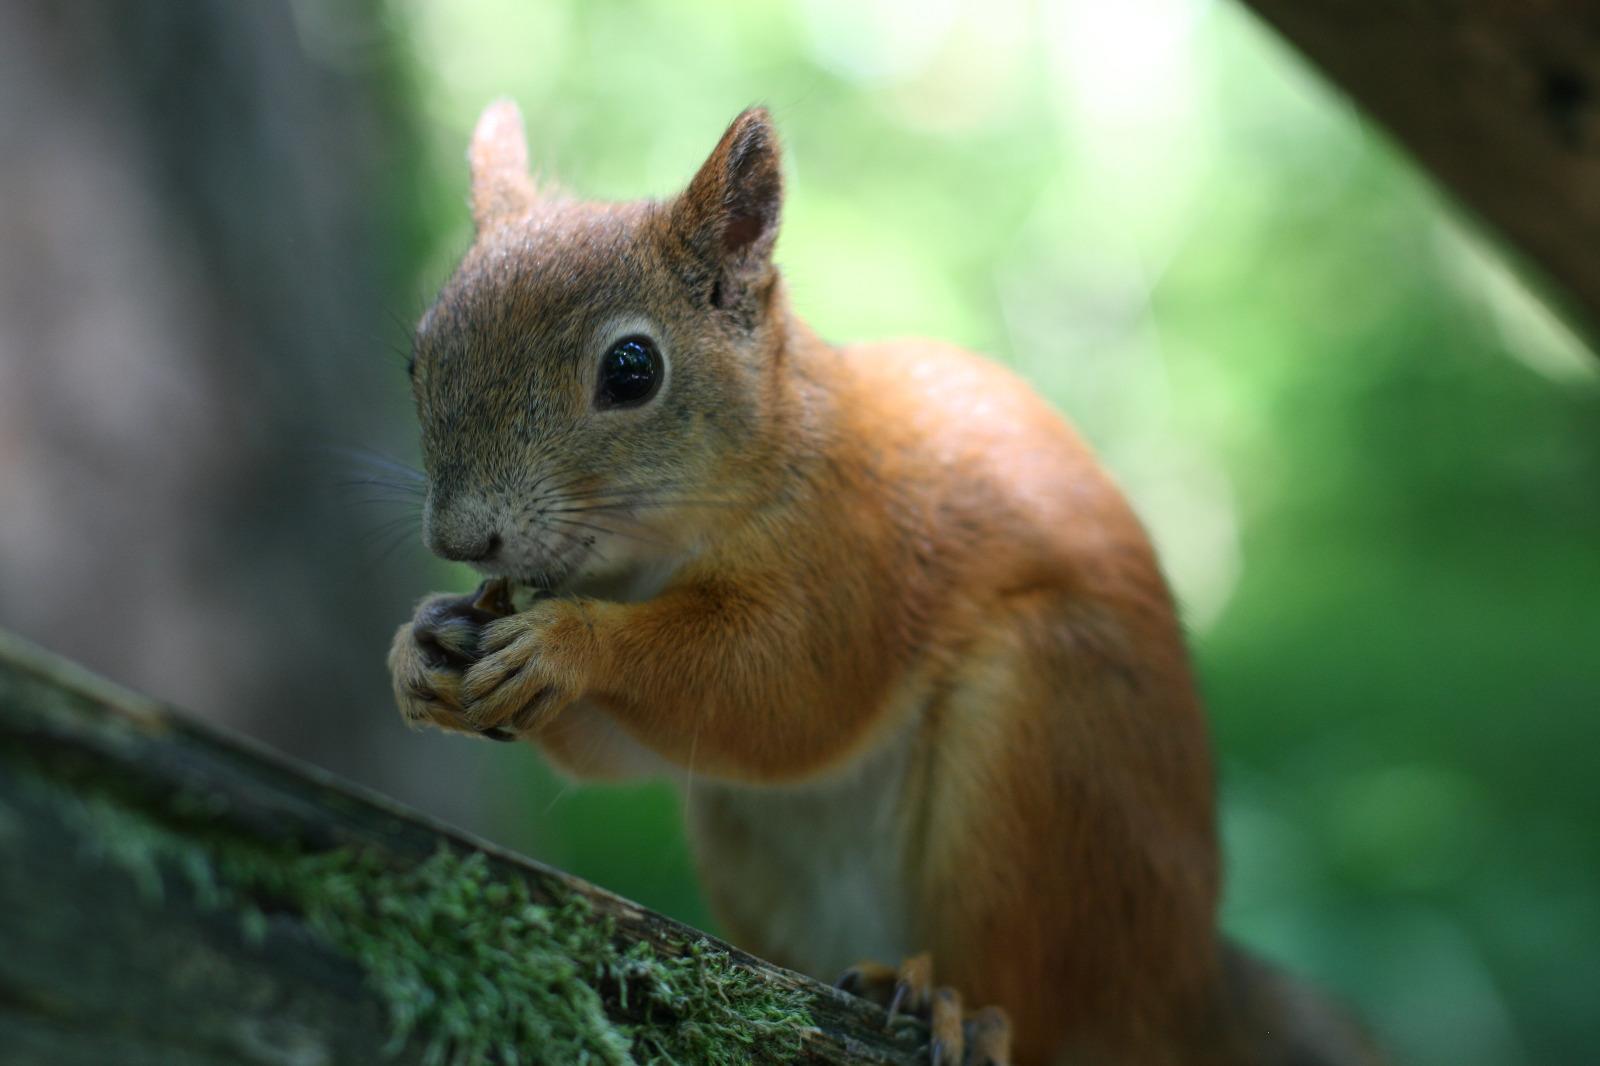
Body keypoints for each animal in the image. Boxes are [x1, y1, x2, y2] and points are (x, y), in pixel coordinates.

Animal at [388, 101, 1384, 1066]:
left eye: (632, 370)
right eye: (417, 355)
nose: (460, 537)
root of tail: (1187, 982)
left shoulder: (856, 558)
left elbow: (783, 692)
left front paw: (569, 642)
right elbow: (624, 752)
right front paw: (420, 645)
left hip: (1049, 744)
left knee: (1034, 994)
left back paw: (957, 1007)